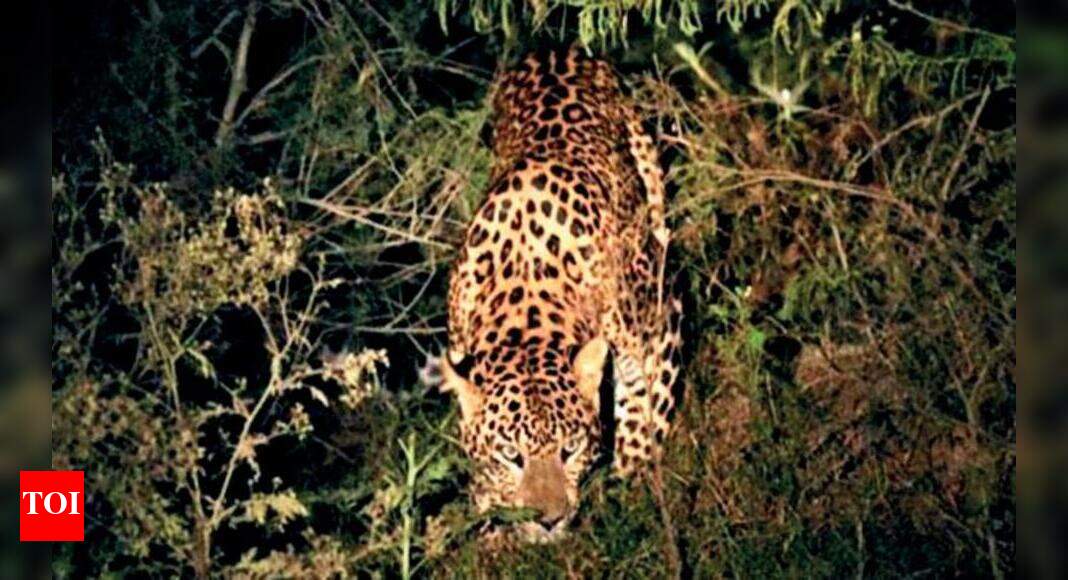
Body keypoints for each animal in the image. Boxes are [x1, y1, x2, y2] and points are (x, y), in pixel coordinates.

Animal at [426, 46, 682, 543]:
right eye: (511, 455)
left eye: (570, 449)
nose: (549, 520)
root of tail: (555, 50)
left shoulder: (661, 320)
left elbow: (645, 416)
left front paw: (634, 483)